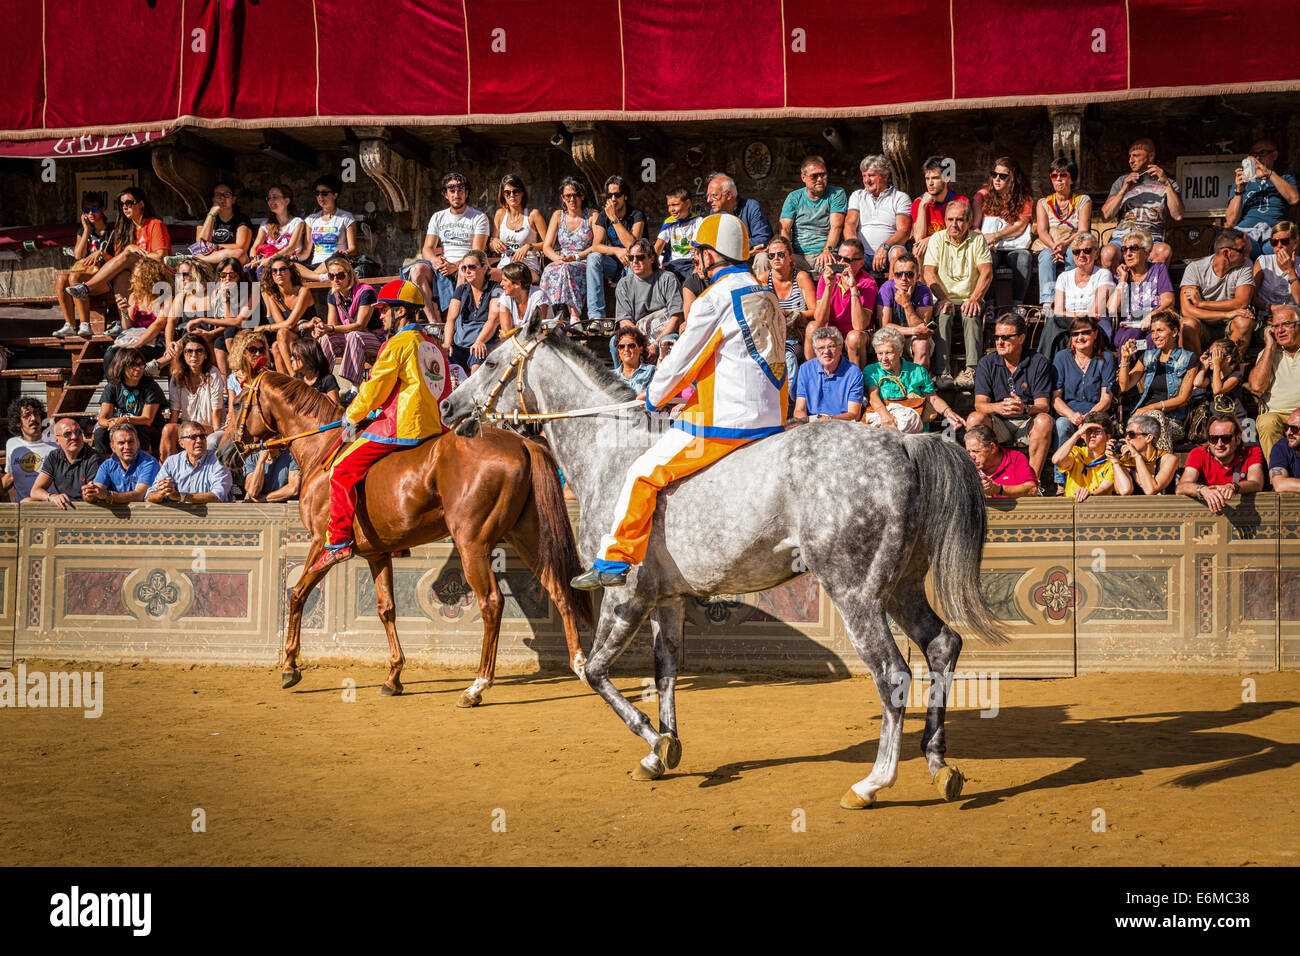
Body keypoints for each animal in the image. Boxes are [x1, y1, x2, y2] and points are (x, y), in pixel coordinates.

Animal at [221, 370, 592, 706]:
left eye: (237, 402)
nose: (224, 452)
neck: (323, 450)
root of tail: (523, 443)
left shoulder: (319, 542)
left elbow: (297, 595)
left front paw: (290, 666)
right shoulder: (377, 554)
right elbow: (387, 609)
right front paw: (394, 675)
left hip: (472, 544)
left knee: (492, 603)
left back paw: (477, 686)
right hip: (529, 536)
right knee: (559, 588)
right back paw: (580, 664)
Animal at [441, 317, 1005, 808]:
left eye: (490, 361)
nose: (447, 406)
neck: (612, 454)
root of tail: (905, 442)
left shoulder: (626, 596)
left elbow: (595, 672)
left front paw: (654, 739)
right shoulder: (666, 599)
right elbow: (665, 671)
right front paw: (661, 750)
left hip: (856, 594)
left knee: (892, 675)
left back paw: (872, 784)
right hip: (901, 587)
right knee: (942, 646)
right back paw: (939, 764)